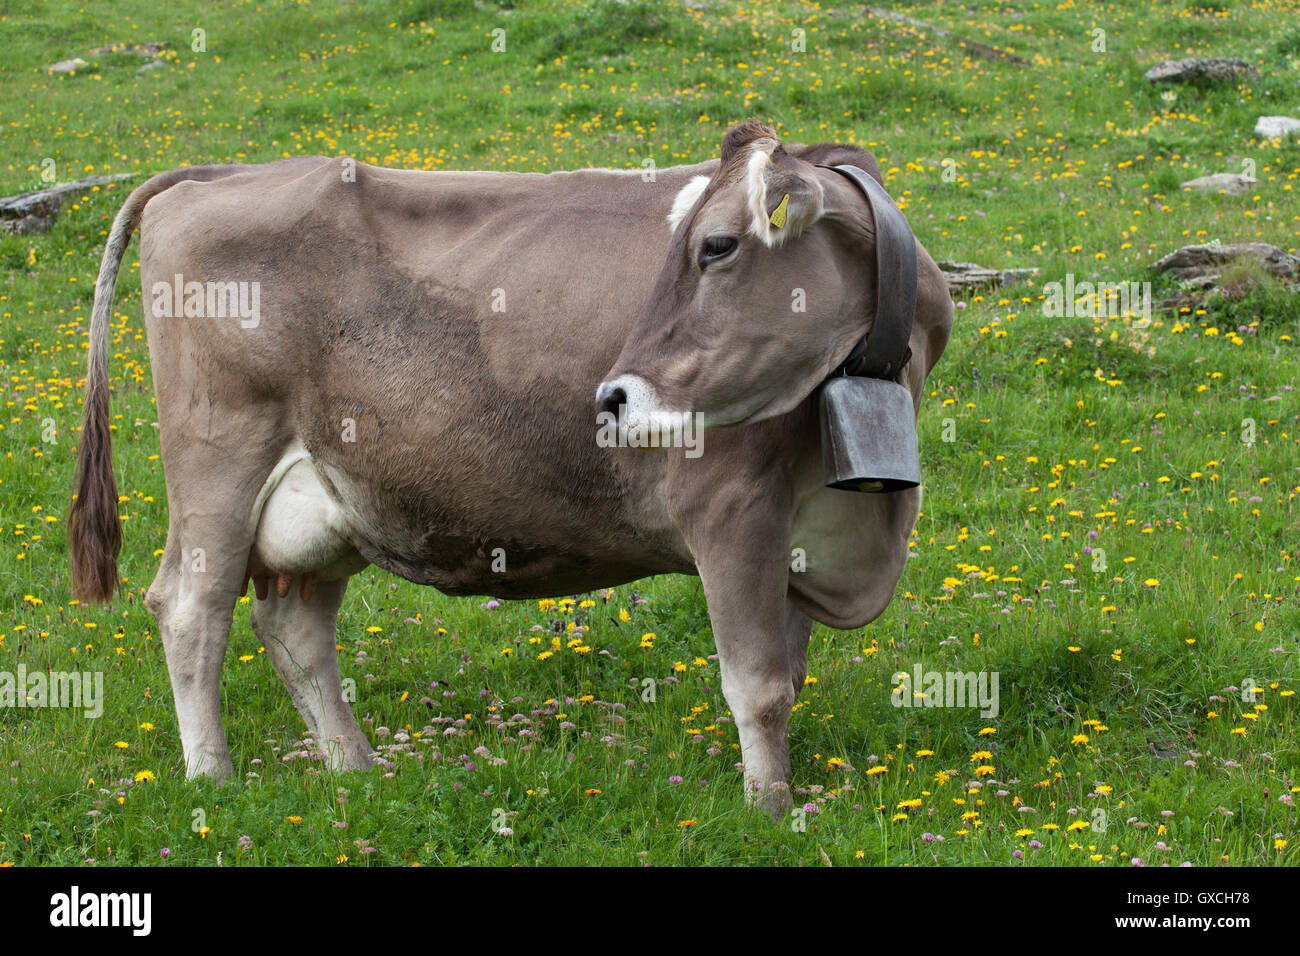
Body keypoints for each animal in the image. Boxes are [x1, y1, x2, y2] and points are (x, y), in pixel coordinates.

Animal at [68, 121, 953, 816]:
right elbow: (759, 685)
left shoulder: (806, 529)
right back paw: (212, 779)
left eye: (716, 244)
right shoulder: (732, 510)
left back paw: (355, 769)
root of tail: (220, 173)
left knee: (292, 623)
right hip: (219, 461)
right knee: (191, 606)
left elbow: (791, 676)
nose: (615, 398)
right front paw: (768, 811)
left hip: (329, 498)